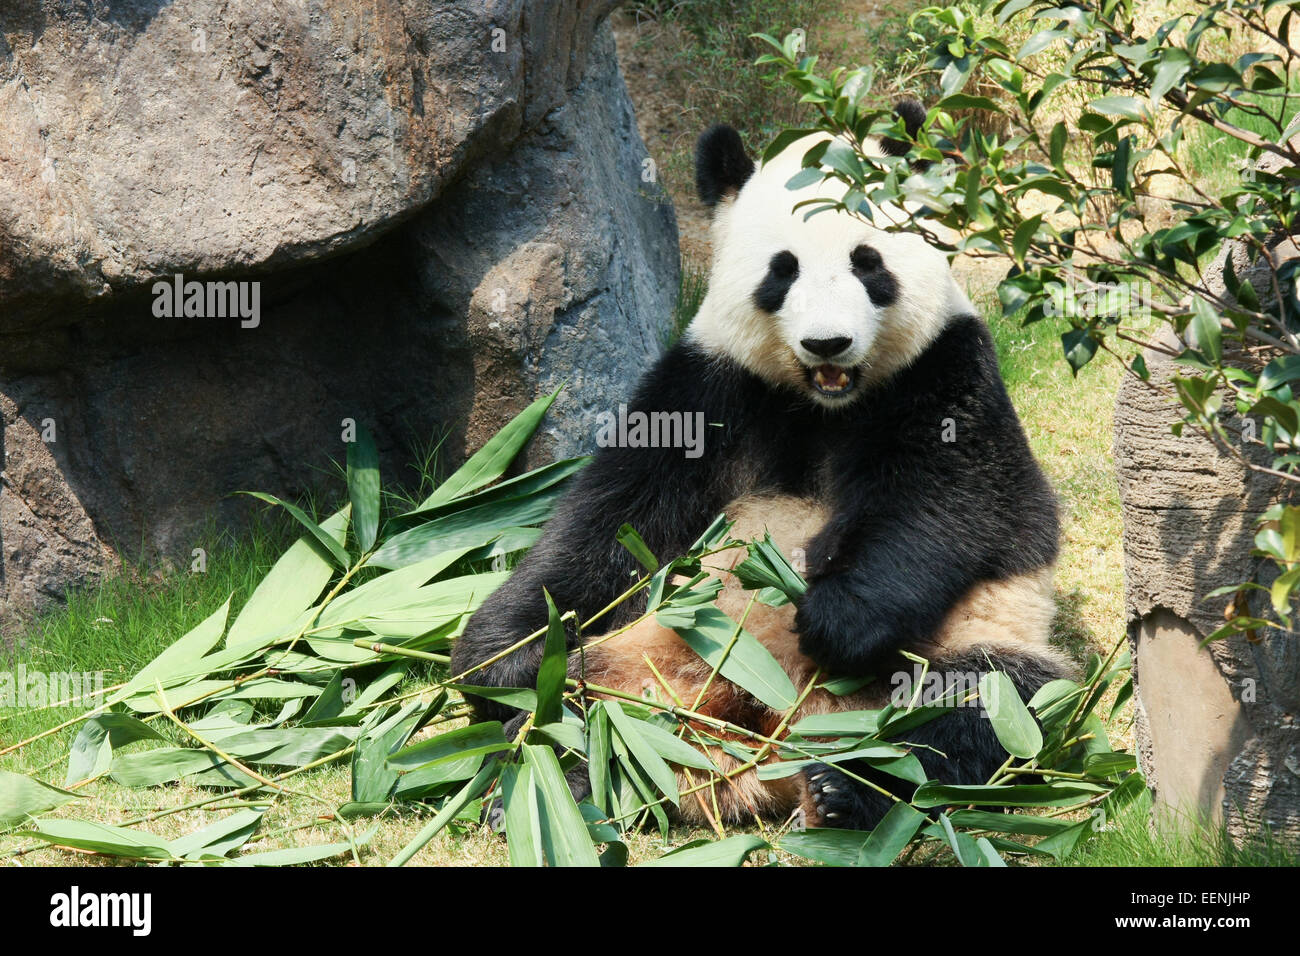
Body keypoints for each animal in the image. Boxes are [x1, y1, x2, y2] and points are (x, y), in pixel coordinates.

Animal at [450, 102, 1070, 831]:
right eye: (784, 270)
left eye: (868, 263)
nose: (828, 341)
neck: (825, 403)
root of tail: (774, 729)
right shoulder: (713, 385)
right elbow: (615, 518)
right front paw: (499, 656)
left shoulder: (947, 369)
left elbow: (954, 502)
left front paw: (838, 618)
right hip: (646, 652)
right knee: (592, 716)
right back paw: (554, 780)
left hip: (976, 639)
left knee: (983, 711)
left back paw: (844, 788)